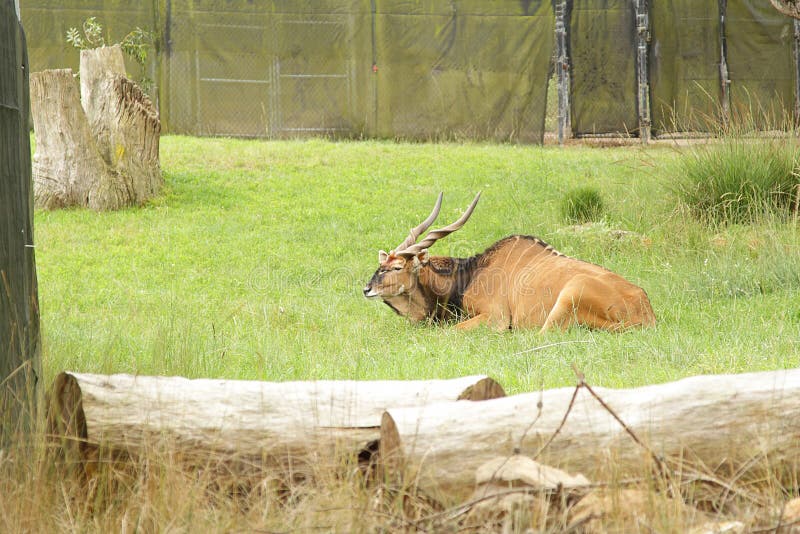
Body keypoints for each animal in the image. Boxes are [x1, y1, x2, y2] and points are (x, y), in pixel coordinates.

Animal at [363, 193, 656, 333]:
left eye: (397, 267)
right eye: (381, 265)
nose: (367, 289)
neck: (471, 274)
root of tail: (644, 313)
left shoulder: (495, 318)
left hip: (571, 294)